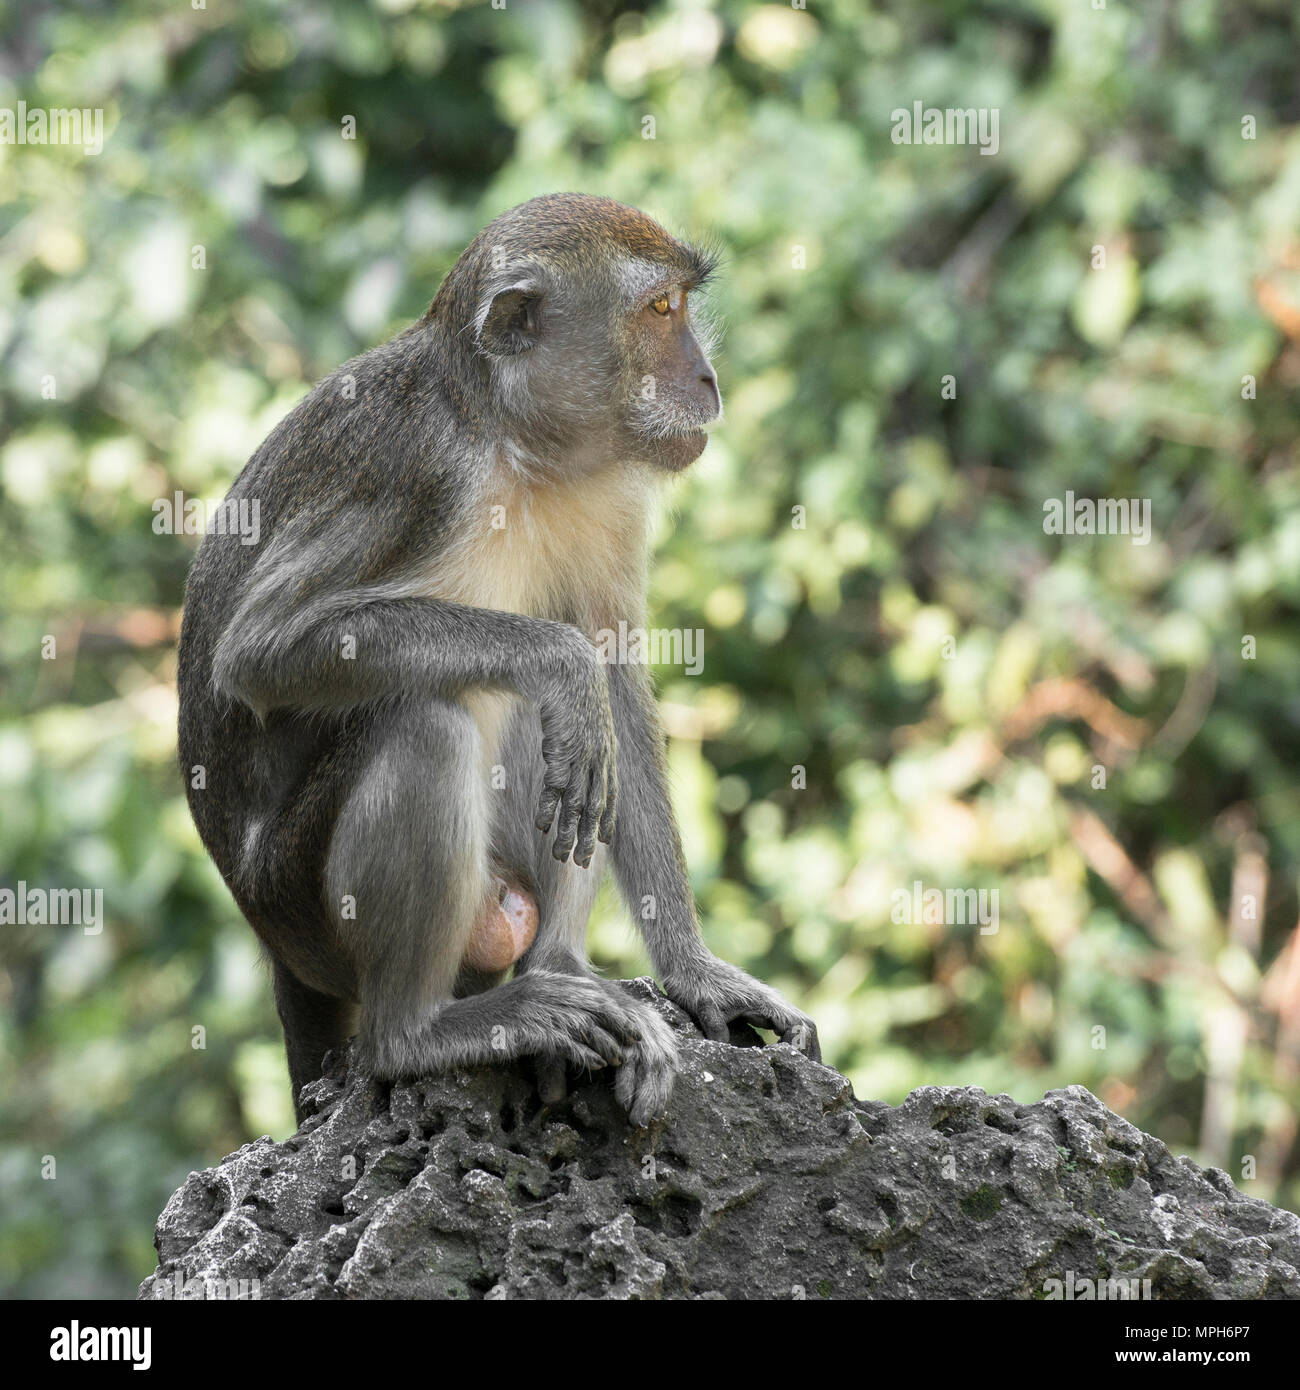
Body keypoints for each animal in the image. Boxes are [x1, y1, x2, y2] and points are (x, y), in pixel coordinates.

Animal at [177, 192, 820, 1127]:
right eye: (661, 309)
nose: (706, 381)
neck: (518, 446)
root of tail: (271, 945)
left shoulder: (613, 494)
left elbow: (615, 688)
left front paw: (696, 974)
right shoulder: (418, 470)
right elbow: (262, 649)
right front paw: (558, 661)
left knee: (566, 750)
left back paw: (558, 974)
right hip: (301, 907)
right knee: (433, 721)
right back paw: (418, 1035)